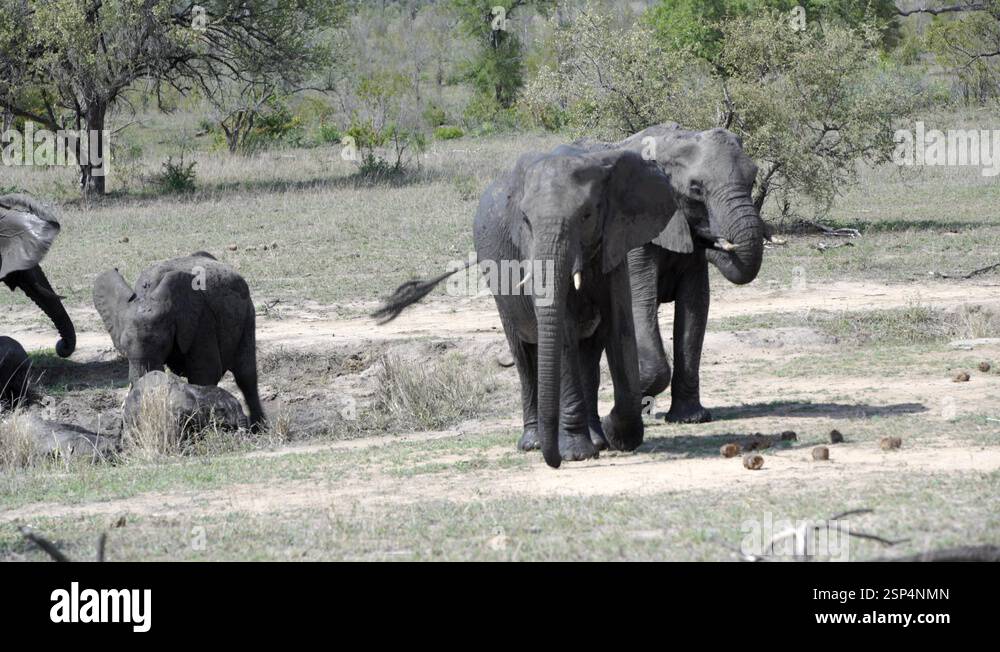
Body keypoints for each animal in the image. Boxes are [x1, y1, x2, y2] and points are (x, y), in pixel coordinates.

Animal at [93, 252, 266, 429]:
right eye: (123, 348)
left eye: (163, 344)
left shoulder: (201, 320)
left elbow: (205, 371)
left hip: (247, 314)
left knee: (245, 374)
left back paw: (259, 428)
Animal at [374, 146, 679, 468]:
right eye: (526, 221)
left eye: (586, 215)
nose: (554, 461)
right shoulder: (526, 254)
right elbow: (564, 333)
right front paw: (577, 453)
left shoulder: (614, 242)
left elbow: (620, 326)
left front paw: (616, 436)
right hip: (501, 294)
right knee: (525, 356)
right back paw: (534, 442)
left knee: (587, 356)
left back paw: (594, 439)